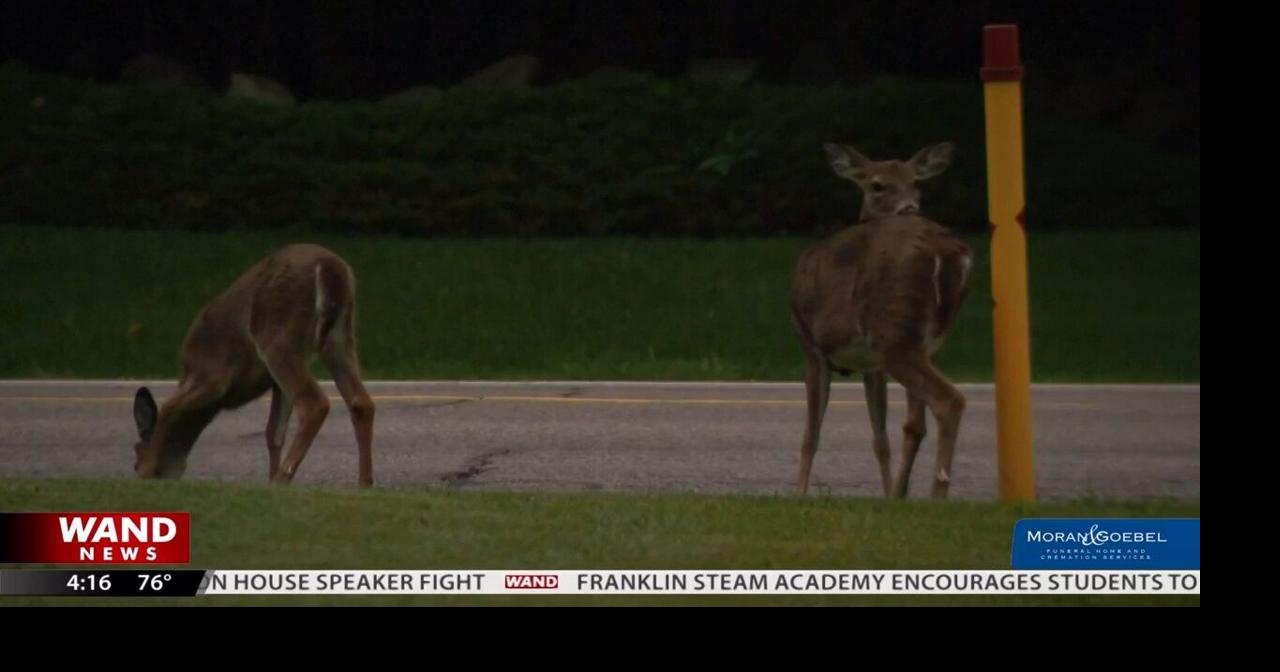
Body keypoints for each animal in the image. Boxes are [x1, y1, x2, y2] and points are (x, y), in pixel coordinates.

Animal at [130, 244, 376, 487]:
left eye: (136, 455)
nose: (139, 469)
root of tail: (329, 266)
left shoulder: (211, 377)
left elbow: (169, 408)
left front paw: (149, 472)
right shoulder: (272, 382)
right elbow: (273, 432)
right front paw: (269, 480)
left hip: (278, 338)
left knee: (313, 403)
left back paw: (283, 477)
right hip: (339, 337)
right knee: (361, 403)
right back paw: (364, 482)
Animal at [789, 141, 972, 499]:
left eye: (916, 182)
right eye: (877, 185)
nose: (910, 208)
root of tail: (949, 254)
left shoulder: (811, 345)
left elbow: (810, 434)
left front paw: (799, 495)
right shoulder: (870, 365)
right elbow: (880, 438)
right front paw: (889, 493)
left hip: (894, 334)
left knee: (949, 400)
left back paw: (938, 495)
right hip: (924, 340)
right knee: (916, 423)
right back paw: (904, 494)